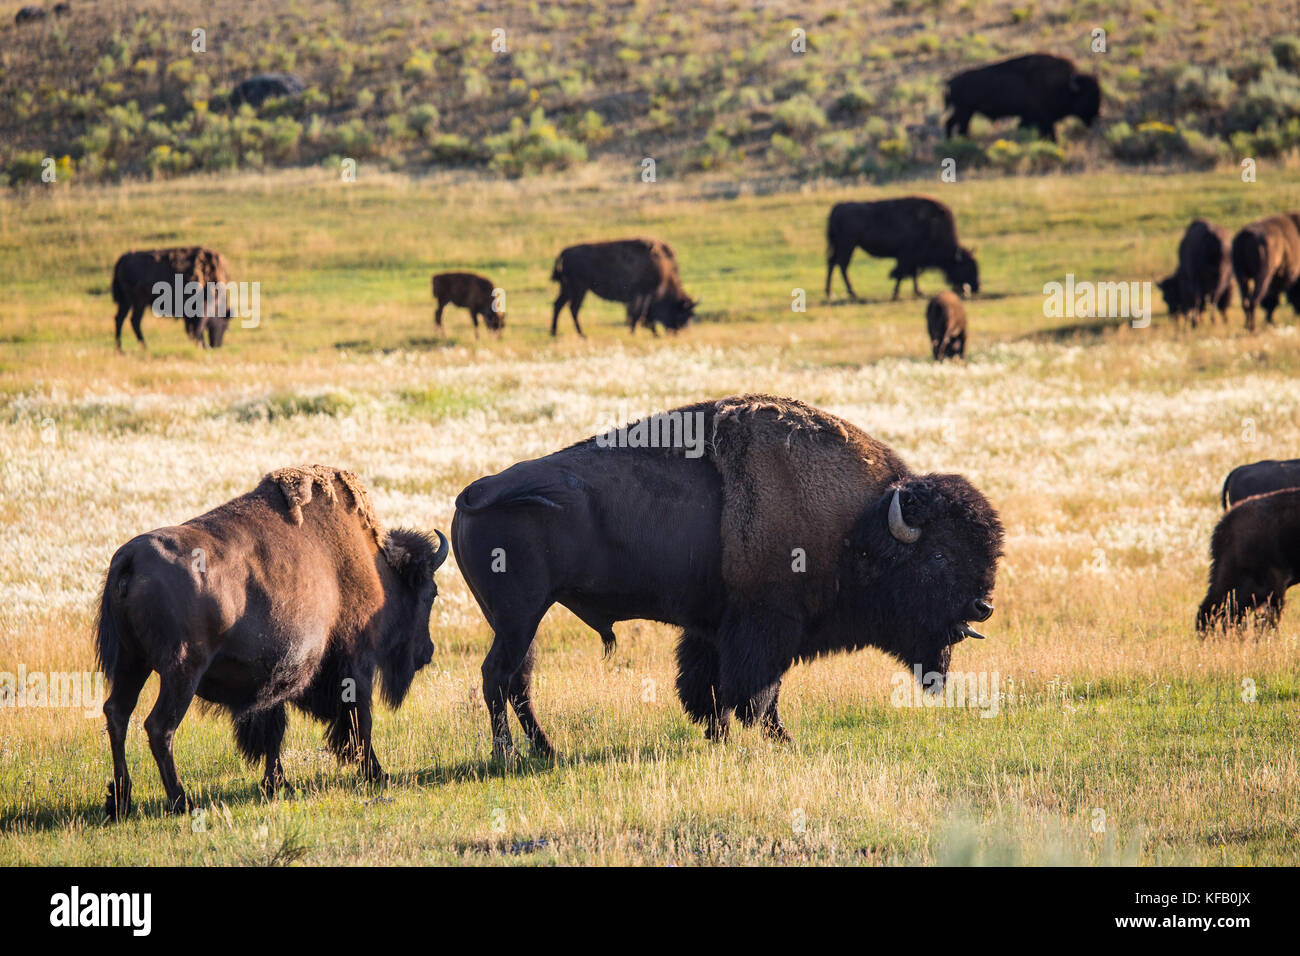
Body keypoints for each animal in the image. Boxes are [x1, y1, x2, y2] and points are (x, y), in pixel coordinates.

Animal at [95, 465, 449, 819]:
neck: (374, 566)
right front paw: (377, 773)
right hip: (181, 672)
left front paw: (278, 784)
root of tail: (129, 559)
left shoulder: (272, 680)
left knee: (117, 714)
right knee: (159, 727)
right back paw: (183, 802)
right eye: (430, 593)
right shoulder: (356, 662)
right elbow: (359, 720)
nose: (427, 652)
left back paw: (120, 801)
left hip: (131, 663)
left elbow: (273, 732)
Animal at [452, 394, 1003, 759]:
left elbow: (708, 686)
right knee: (498, 676)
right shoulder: (767, 626)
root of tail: (475, 491)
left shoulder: (714, 629)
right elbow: (759, 691)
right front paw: (781, 739)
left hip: (521, 621)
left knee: (518, 680)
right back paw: (510, 754)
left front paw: (716, 736)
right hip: (520, 617)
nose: (983, 607)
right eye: (939, 556)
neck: (857, 525)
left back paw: (544, 751)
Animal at [550, 238, 696, 336]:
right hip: (579, 289)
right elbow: (639, 314)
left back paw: (555, 333)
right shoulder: (643, 294)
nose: (681, 332)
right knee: (573, 309)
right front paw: (636, 332)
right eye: (683, 314)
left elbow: (640, 314)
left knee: (558, 305)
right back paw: (582, 335)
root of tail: (565, 252)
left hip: (568, 289)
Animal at [826, 197, 979, 301]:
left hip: (841, 246)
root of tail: (837, 207)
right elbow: (902, 273)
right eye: (967, 266)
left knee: (832, 263)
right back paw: (853, 293)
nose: (975, 287)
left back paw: (831, 293)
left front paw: (918, 292)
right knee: (842, 265)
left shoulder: (912, 259)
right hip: (848, 245)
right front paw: (896, 294)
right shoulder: (907, 256)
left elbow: (912, 274)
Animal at [943, 53, 1101, 142]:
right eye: (1088, 95)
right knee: (960, 127)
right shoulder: (1043, 119)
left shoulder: (1032, 119)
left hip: (965, 111)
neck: (1065, 86)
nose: (1096, 114)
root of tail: (951, 81)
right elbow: (1050, 134)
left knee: (951, 123)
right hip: (965, 111)